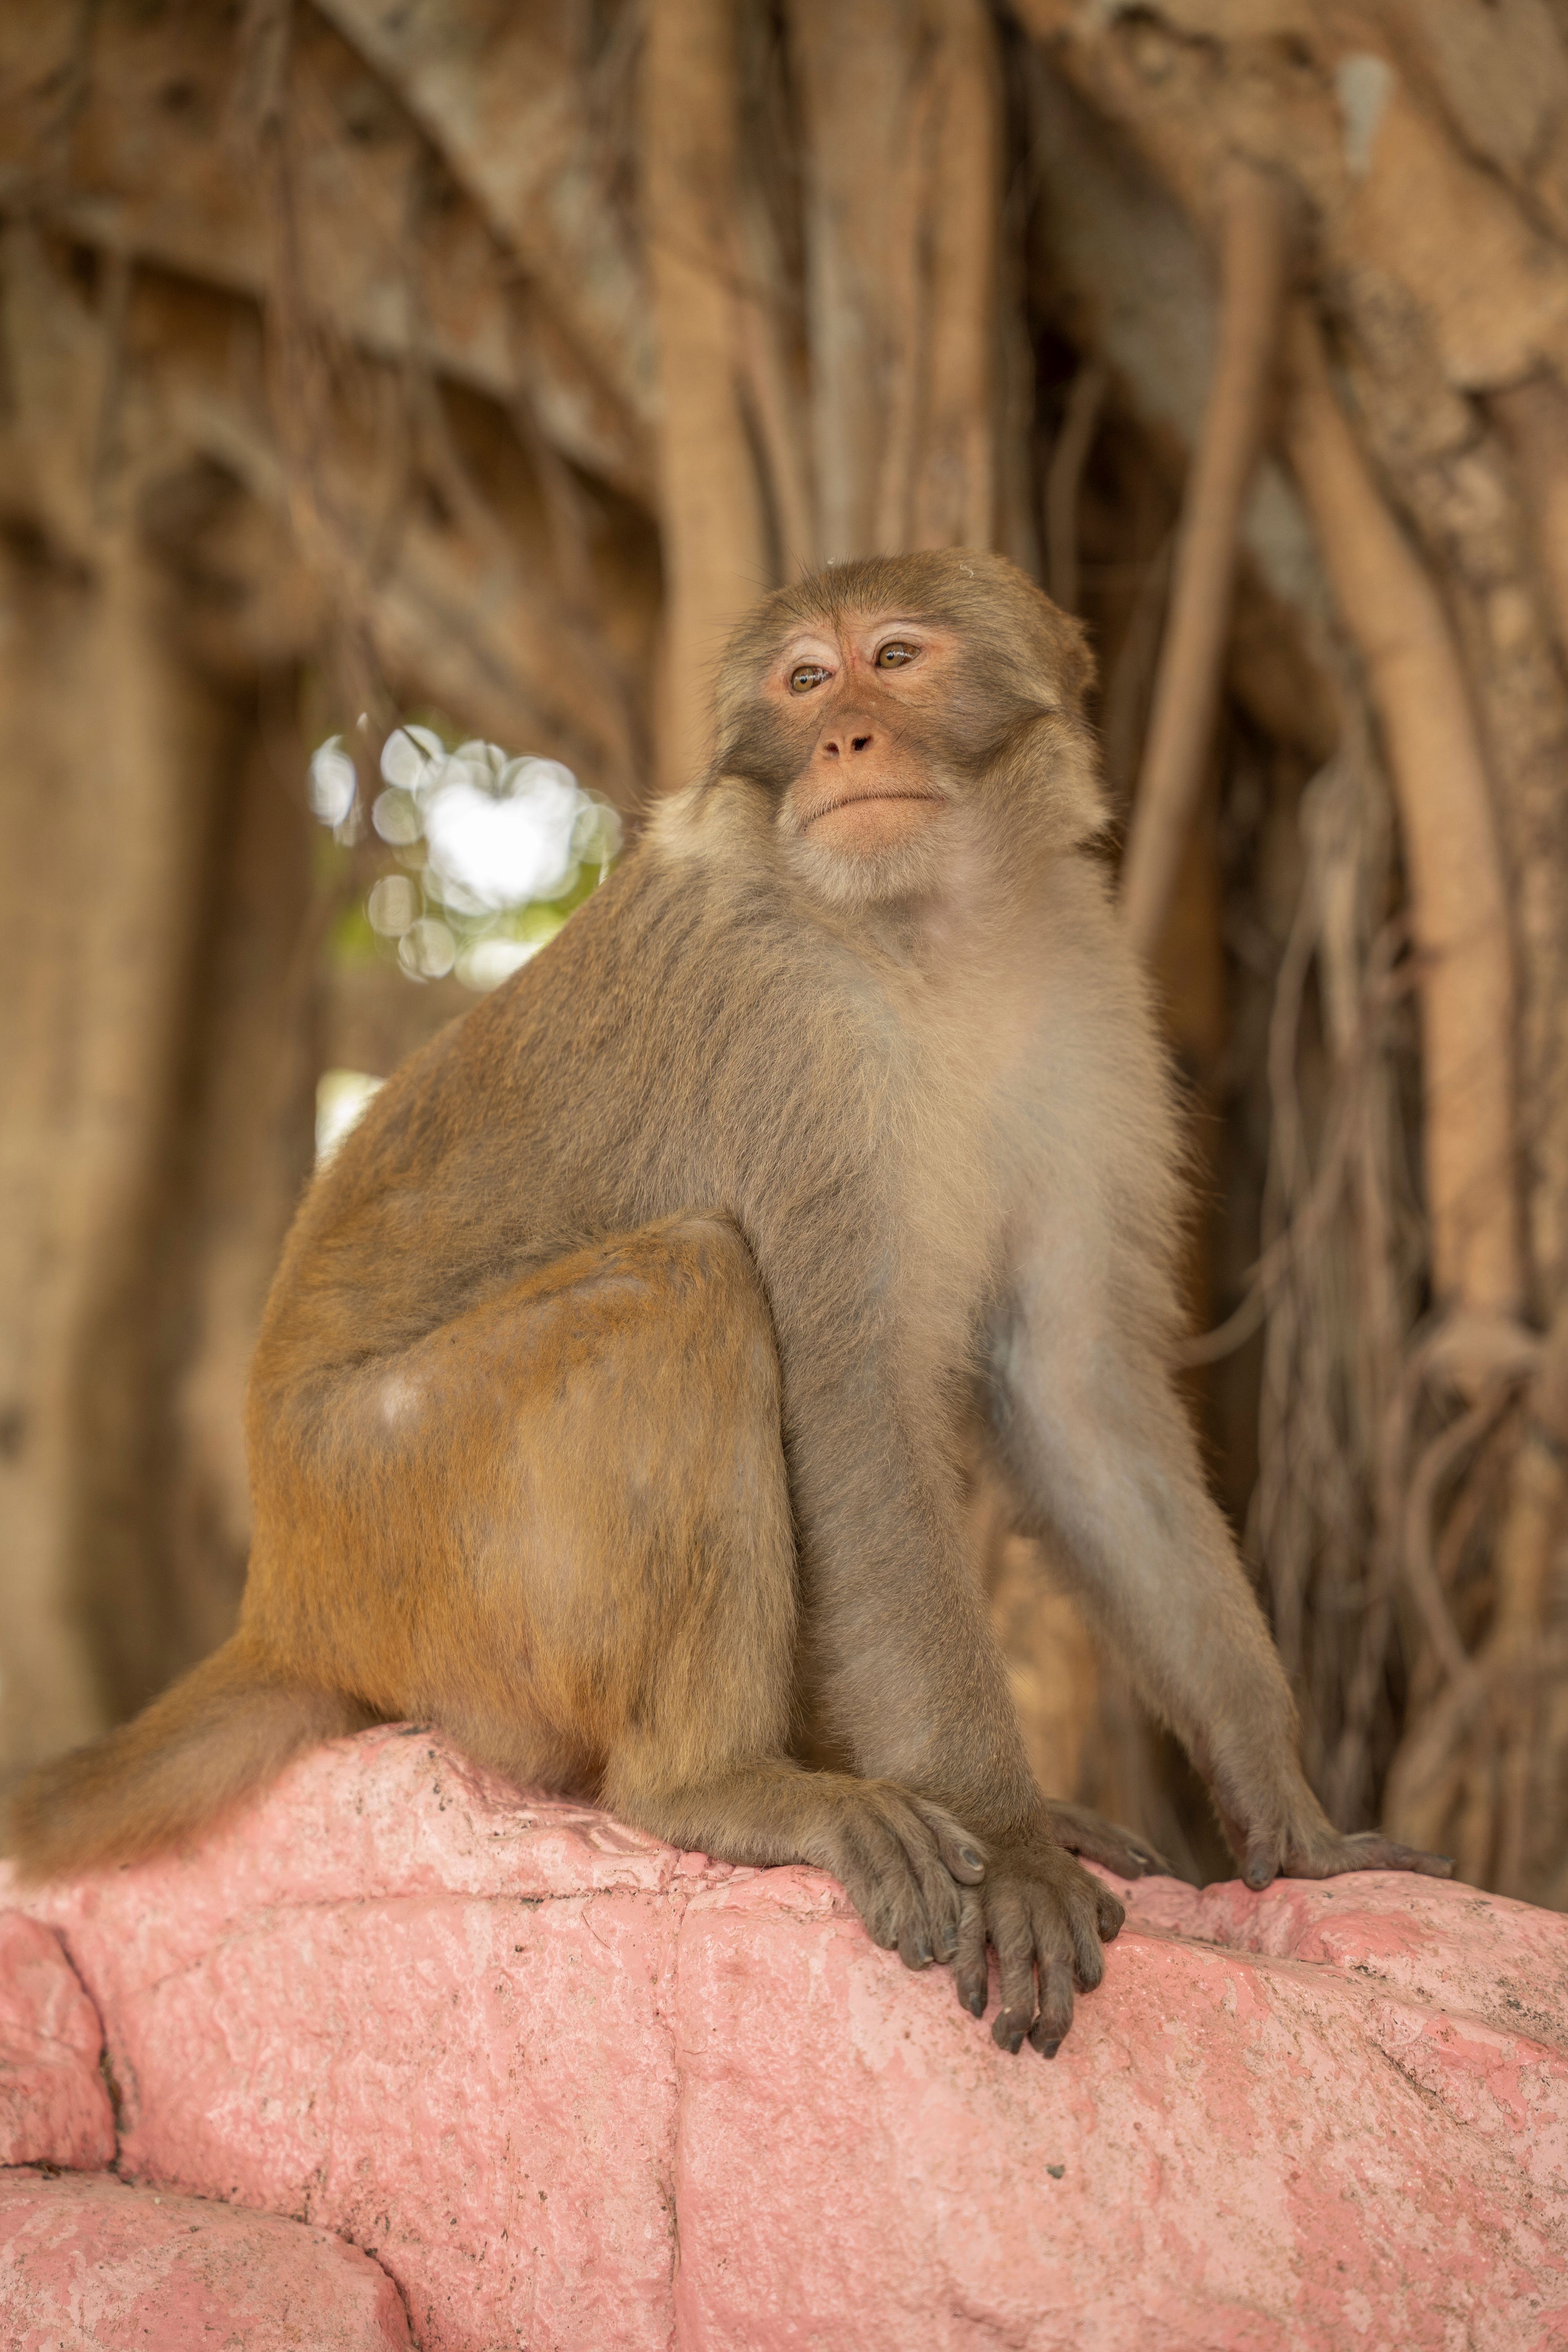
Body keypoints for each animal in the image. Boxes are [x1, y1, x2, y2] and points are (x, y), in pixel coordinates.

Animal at [8, 549, 1450, 2057]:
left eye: (896, 656)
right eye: (804, 681)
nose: (846, 740)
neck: (923, 936)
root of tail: (281, 1591)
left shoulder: (1088, 993)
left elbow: (1075, 1392)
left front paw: (1290, 1812)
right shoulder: (782, 1026)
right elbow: (848, 1397)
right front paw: (1010, 1842)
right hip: (405, 1512)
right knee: (688, 1288)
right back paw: (719, 1785)